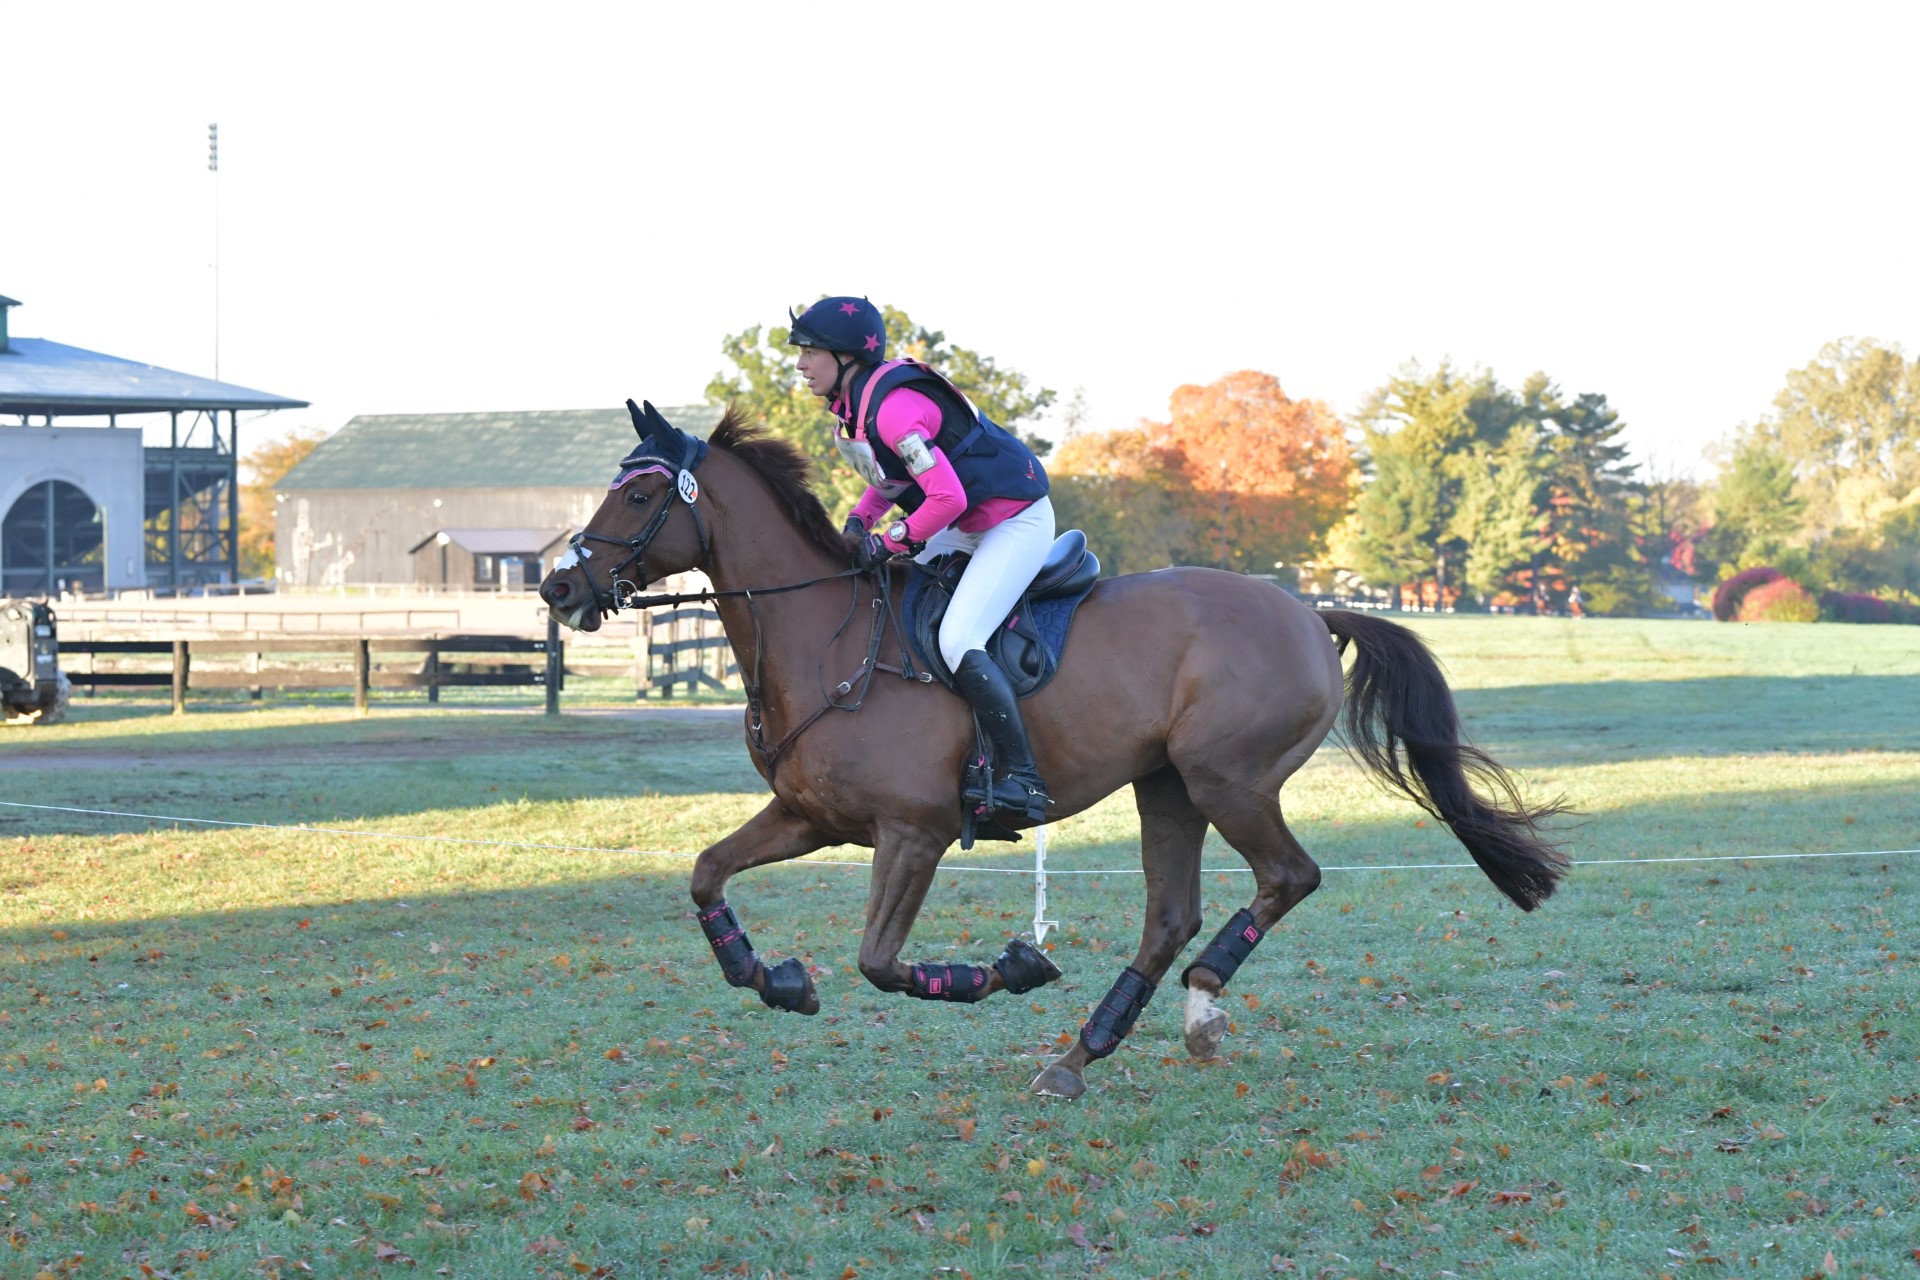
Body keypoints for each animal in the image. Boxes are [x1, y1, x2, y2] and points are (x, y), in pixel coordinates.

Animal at [538, 402, 1568, 1099]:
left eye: (640, 492)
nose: (557, 589)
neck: (824, 634)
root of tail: (1312, 611)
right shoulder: (809, 817)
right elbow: (707, 873)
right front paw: (776, 980)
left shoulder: (911, 833)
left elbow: (880, 961)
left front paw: (1011, 969)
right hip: (1167, 786)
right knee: (1171, 915)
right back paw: (1082, 1053)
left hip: (1226, 779)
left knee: (1287, 879)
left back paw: (1198, 1009)